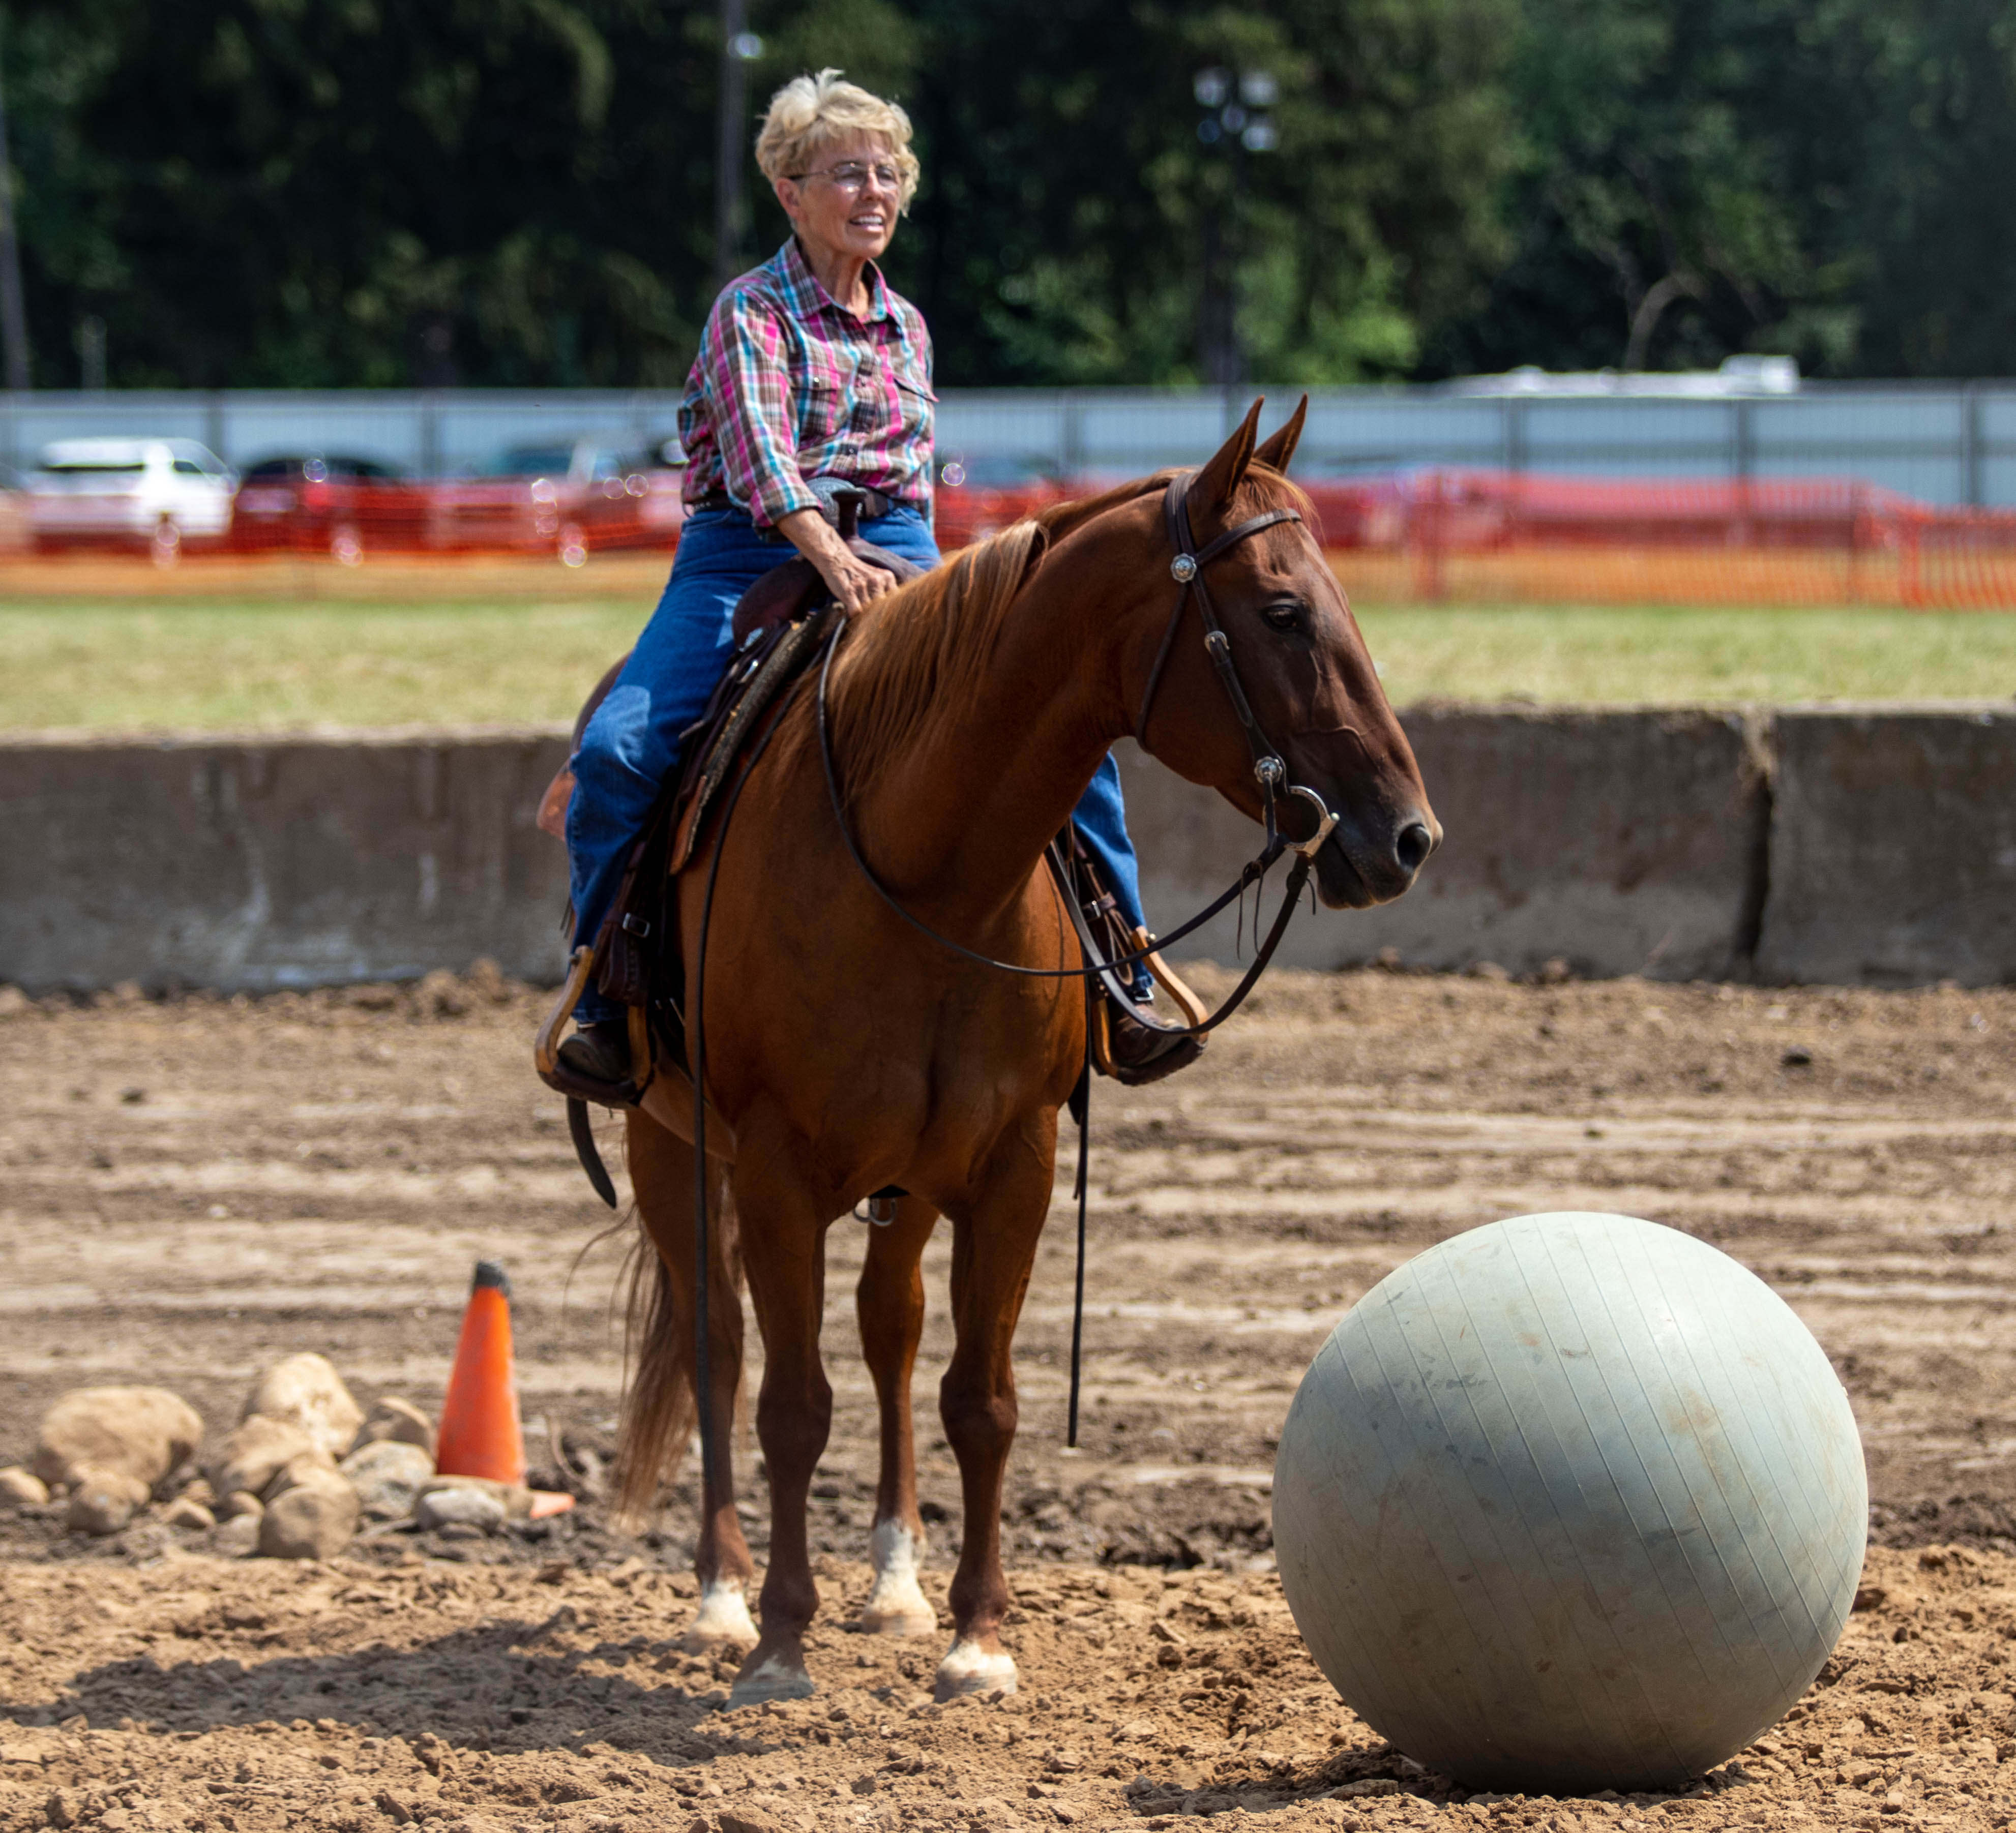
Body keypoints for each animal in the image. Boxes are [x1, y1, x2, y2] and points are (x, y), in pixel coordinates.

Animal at [608, 398, 1439, 1707]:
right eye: (1280, 611)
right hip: (667, 1147)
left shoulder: (1014, 1164)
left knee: (889, 1329)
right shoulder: (778, 1172)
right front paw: (782, 1643)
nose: (1406, 836)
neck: (924, 865)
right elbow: (792, 1403)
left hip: (900, 1181)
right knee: (718, 1346)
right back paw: (721, 1594)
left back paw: (893, 1581)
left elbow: (981, 1398)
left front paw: (977, 1640)